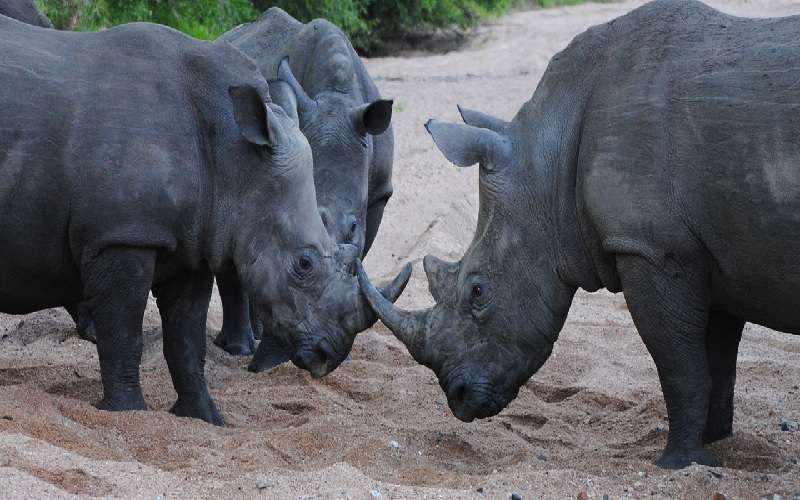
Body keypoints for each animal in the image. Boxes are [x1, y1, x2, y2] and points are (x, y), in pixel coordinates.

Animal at [359, 0, 800, 468]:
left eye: (478, 292)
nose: (457, 398)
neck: (549, 159)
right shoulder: (709, 252)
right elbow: (716, 366)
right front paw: (712, 452)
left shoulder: (652, 247)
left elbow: (681, 365)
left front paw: (677, 462)